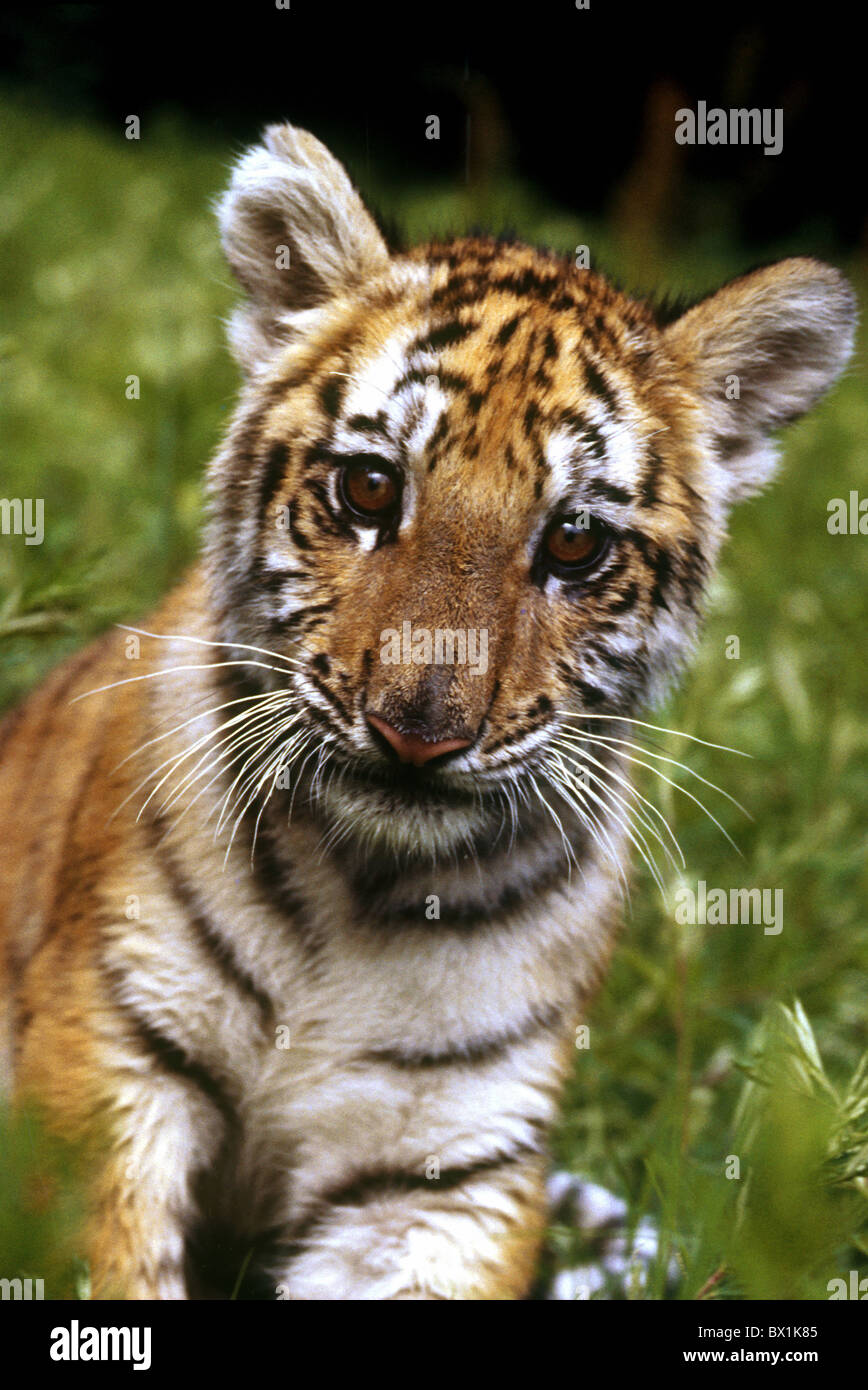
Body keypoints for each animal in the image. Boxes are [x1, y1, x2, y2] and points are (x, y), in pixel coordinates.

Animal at [0, 122, 856, 1300]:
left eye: (574, 542)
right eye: (369, 488)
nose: (419, 731)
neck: (358, 901)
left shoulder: (444, 1174)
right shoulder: (111, 1063)